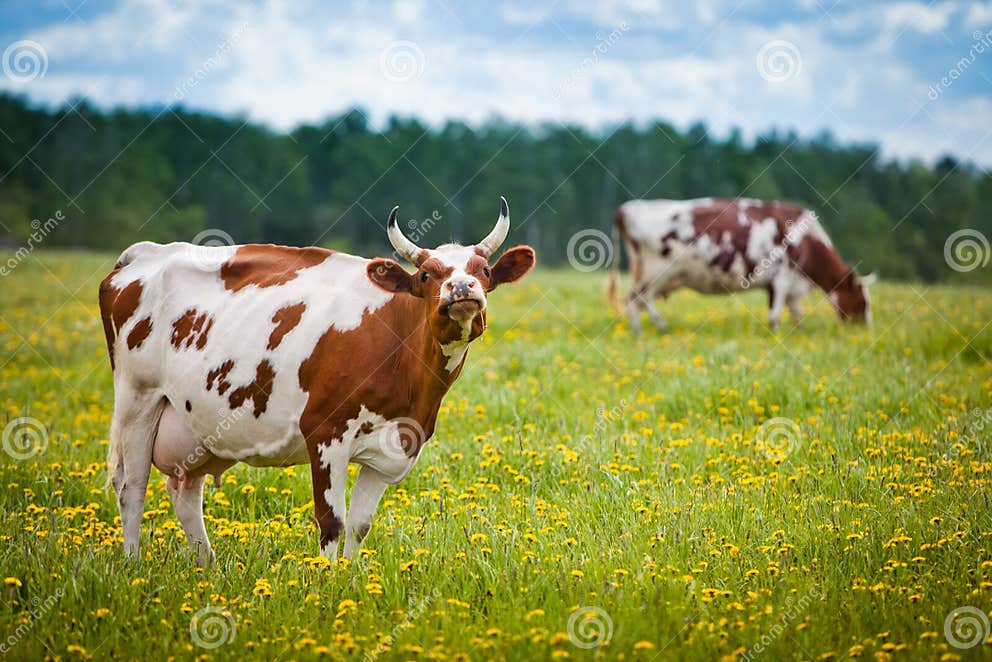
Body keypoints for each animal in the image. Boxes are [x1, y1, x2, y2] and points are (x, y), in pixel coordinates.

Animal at [98, 198, 535, 565]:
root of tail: (146, 253)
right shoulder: (326, 433)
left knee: (185, 490)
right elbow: (332, 521)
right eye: (427, 274)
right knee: (131, 488)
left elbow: (359, 525)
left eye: (483, 271)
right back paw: (134, 566)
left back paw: (208, 566)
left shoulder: (393, 445)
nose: (461, 288)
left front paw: (352, 578)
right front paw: (325, 583)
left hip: (193, 422)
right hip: (138, 399)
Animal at [606, 197, 875, 333]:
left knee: (638, 300)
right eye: (862, 302)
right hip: (655, 272)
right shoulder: (782, 278)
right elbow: (775, 314)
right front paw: (776, 334)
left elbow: (796, 312)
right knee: (635, 299)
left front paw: (798, 331)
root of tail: (627, 208)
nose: (865, 329)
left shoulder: (788, 286)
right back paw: (652, 328)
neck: (806, 241)